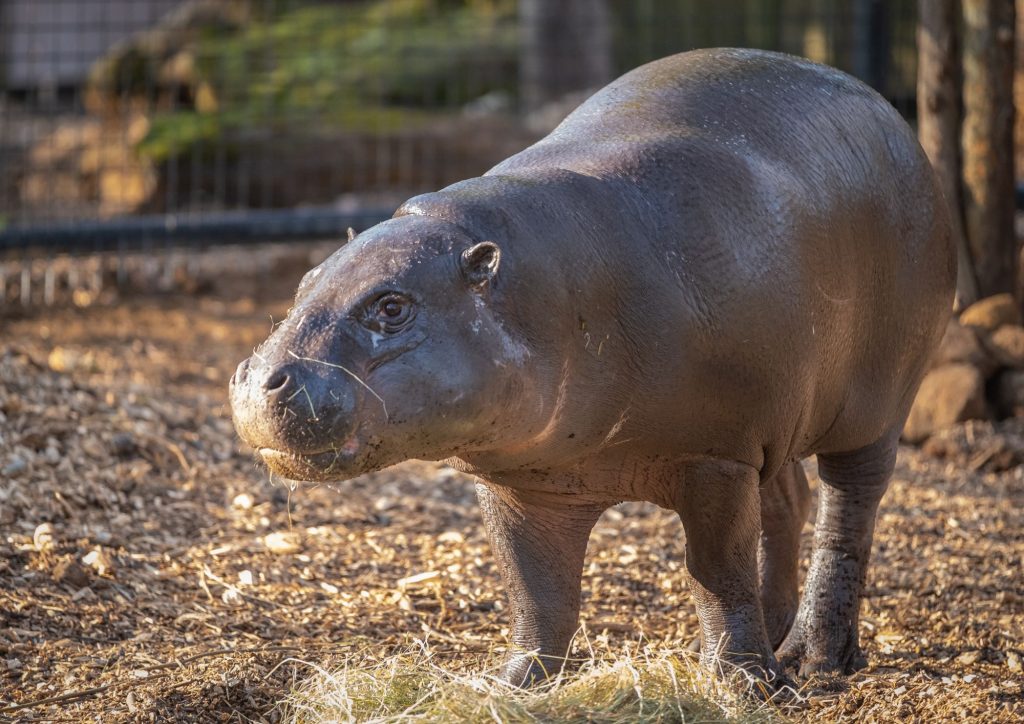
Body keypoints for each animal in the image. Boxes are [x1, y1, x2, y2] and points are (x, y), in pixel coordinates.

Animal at [230, 48, 955, 690]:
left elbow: (718, 573)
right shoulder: (523, 478)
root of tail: (886, 110)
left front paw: (748, 688)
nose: (261, 377)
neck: (542, 288)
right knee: (788, 504)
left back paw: (817, 662)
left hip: (874, 406)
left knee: (848, 512)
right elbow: (537, 591)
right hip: (775, 421)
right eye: (304, 281)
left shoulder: (713, 458)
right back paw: (781, 639)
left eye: (392, 305)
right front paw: (513, 685)